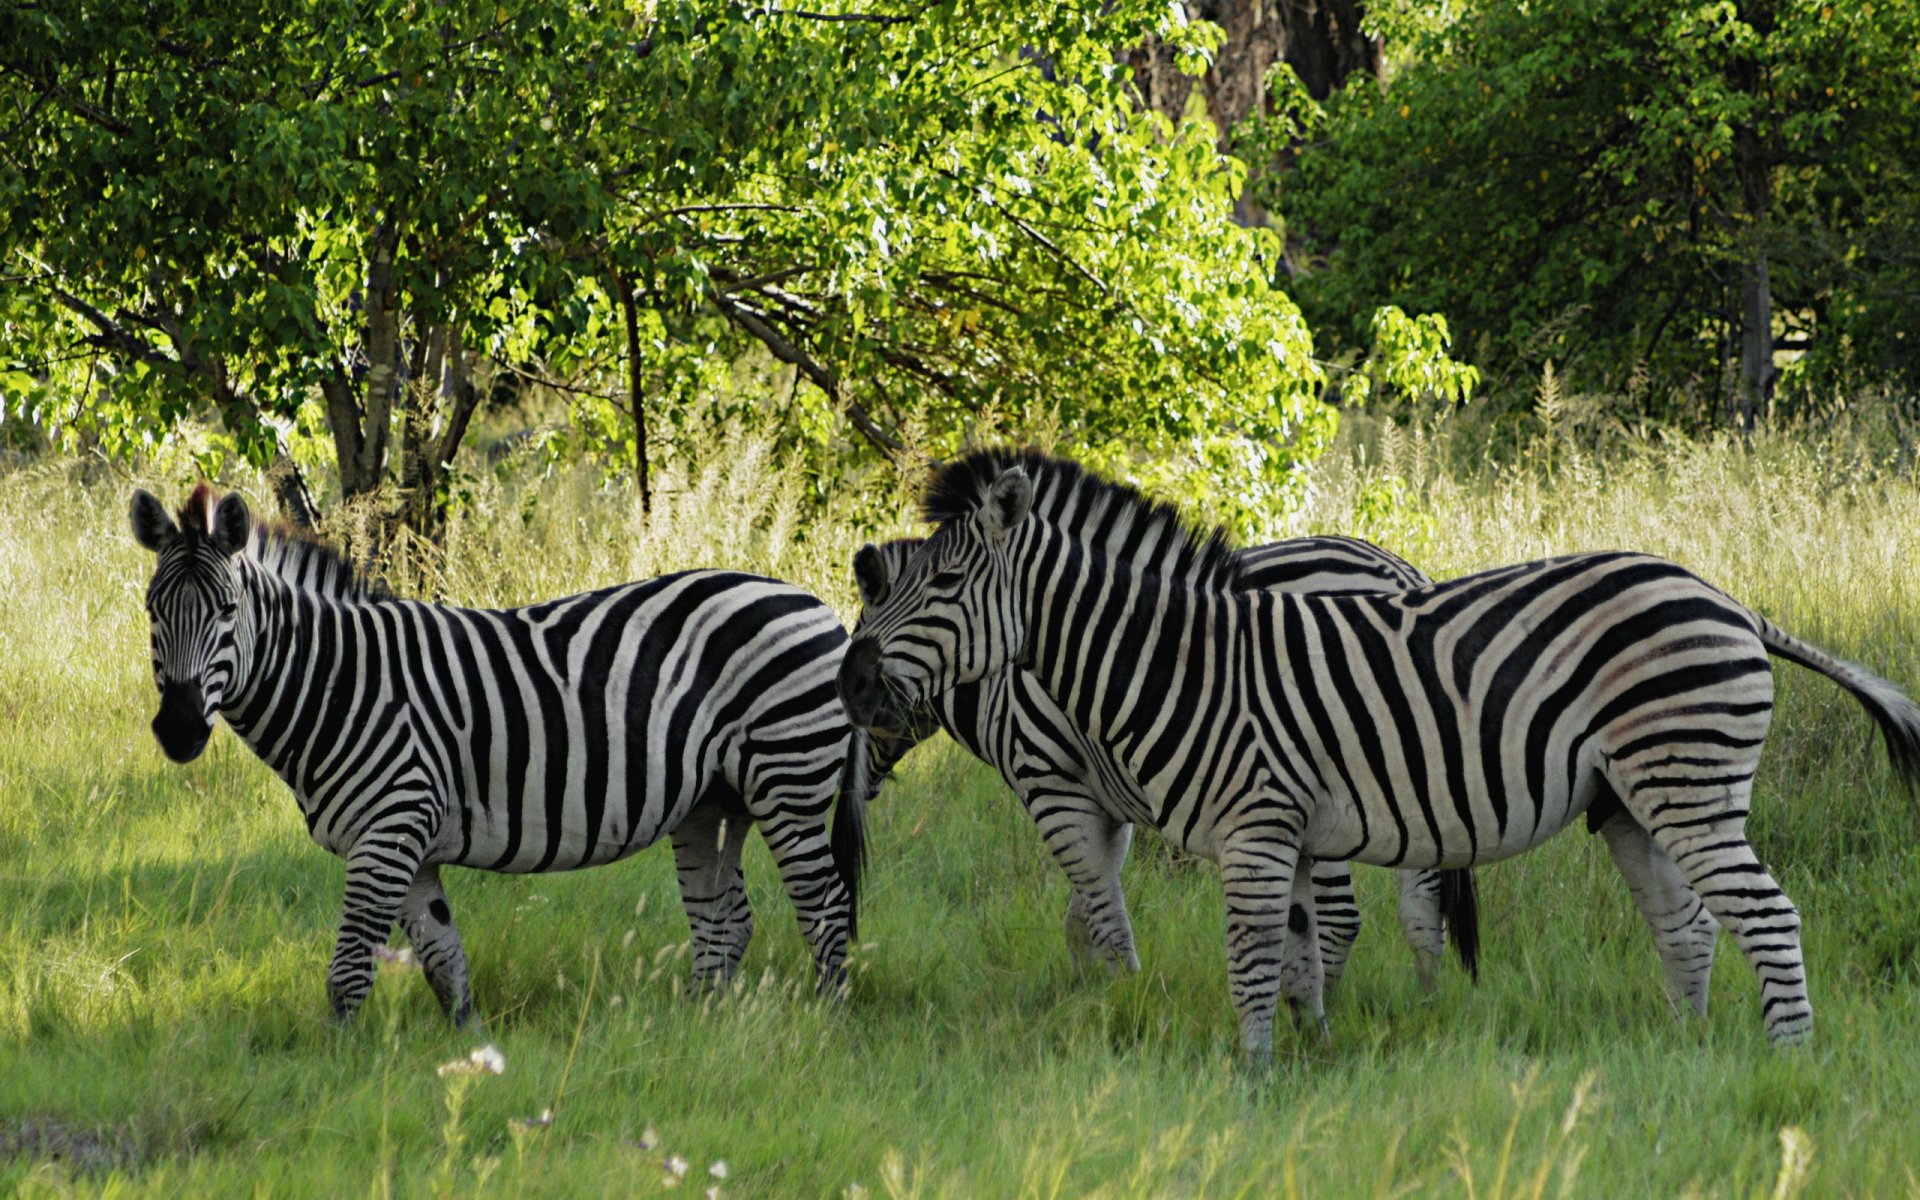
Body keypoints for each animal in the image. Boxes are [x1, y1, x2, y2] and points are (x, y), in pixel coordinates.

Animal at [131, 484, 870, 1025]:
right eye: (151, 612)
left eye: (227, 611)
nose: (178, 729)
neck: (339, 682)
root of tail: (815, 602)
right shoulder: (411, 846)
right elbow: (444, 961)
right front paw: (468, 1052)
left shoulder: (390, 829)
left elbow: (347, 972)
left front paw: (337, 1069)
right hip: (712, 804)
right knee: (726, 921)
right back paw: (697, 1029)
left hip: (789, 780)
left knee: (825, 906)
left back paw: (828, 1023)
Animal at [850, 533, 1478, 999]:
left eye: (858, 649)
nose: (861, 791)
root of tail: (1402, 574)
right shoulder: (1110, 802)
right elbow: (1086, 907)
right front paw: (1089, 991)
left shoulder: (1050, 782)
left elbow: (1094, 902)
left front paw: (1112, 999)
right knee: (1422, 907)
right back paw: (1426, 1005)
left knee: (1344, 917)